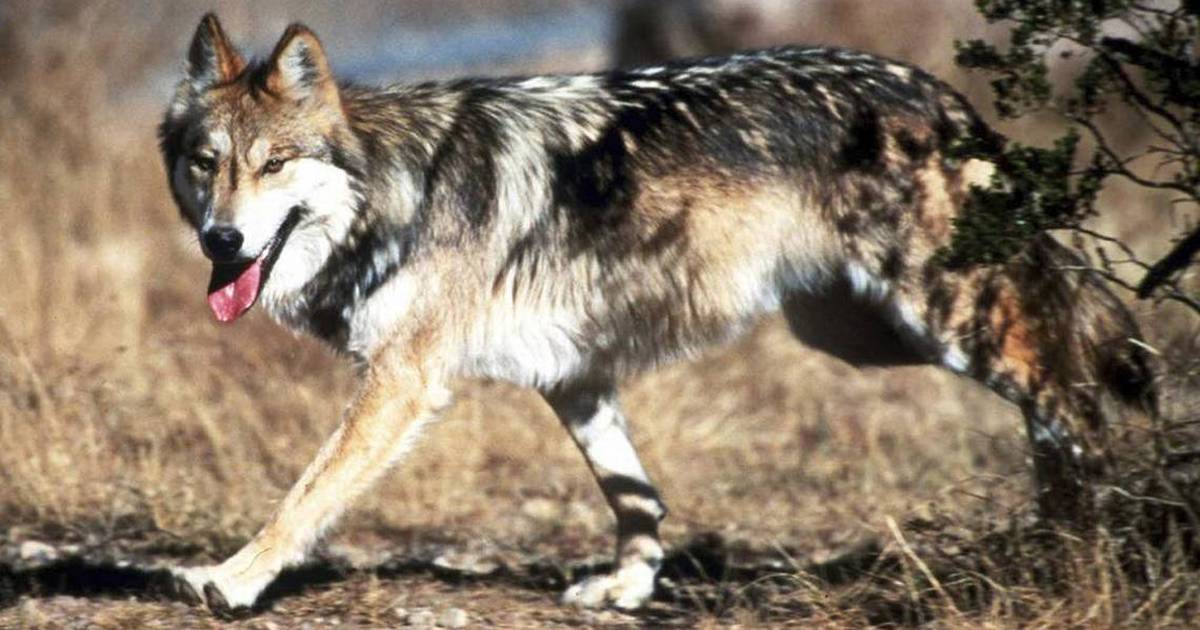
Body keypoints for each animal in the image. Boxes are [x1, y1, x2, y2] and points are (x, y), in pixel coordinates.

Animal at [160, 14, 1157, 613]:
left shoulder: (402, 383)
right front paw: (628, 588)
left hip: (938, 318)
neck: (396, 189)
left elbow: (304, 494)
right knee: (1057, 372)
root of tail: (939, 92)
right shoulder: (573, 377)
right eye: (208, 163)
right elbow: (634, 495)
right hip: (858, 335)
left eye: (274, 164)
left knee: (1069, 387)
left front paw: (231, 579)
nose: (220, 240)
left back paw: (1093, 538)